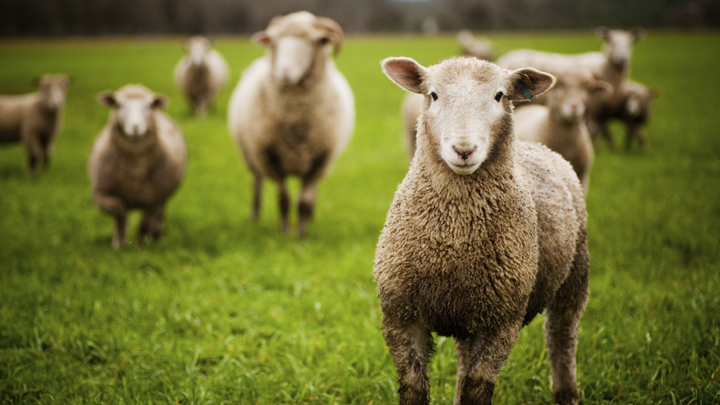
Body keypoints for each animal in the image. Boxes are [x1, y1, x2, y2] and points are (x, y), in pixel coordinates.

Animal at [88, 84, 187, 249]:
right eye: (118, 105)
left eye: (149, 106)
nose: (135, 126)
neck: (134, 172)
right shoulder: (102, 194)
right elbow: (120, 214)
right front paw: (119, 244)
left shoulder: (154, 200)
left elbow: (144, 223)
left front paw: (141, 247)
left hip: (164, 195)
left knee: (159, 214)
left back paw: (155, 233)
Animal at [227, 11, 355, 238]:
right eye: (274, 41)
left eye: (313, 42)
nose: (284, 71)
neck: (296, 123)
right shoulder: (269, 157)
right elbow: (284, 200)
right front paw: (286, 234)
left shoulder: (320, 160)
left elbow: (304, 202)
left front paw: (302, 235)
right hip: (250, 155)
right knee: (257, 182)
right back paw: (255, 215)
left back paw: (312, 217)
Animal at [376, 56, 589, 405]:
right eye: (433, 94)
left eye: (499, 95)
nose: (464, 150)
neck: (455, 238)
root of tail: (537, 145)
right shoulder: (401, 317)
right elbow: (414, 387)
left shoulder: (502, 323)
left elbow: (477, 389)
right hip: (471, 308)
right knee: (464, 360)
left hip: (575, 273)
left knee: (562, 336)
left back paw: (567, 393)